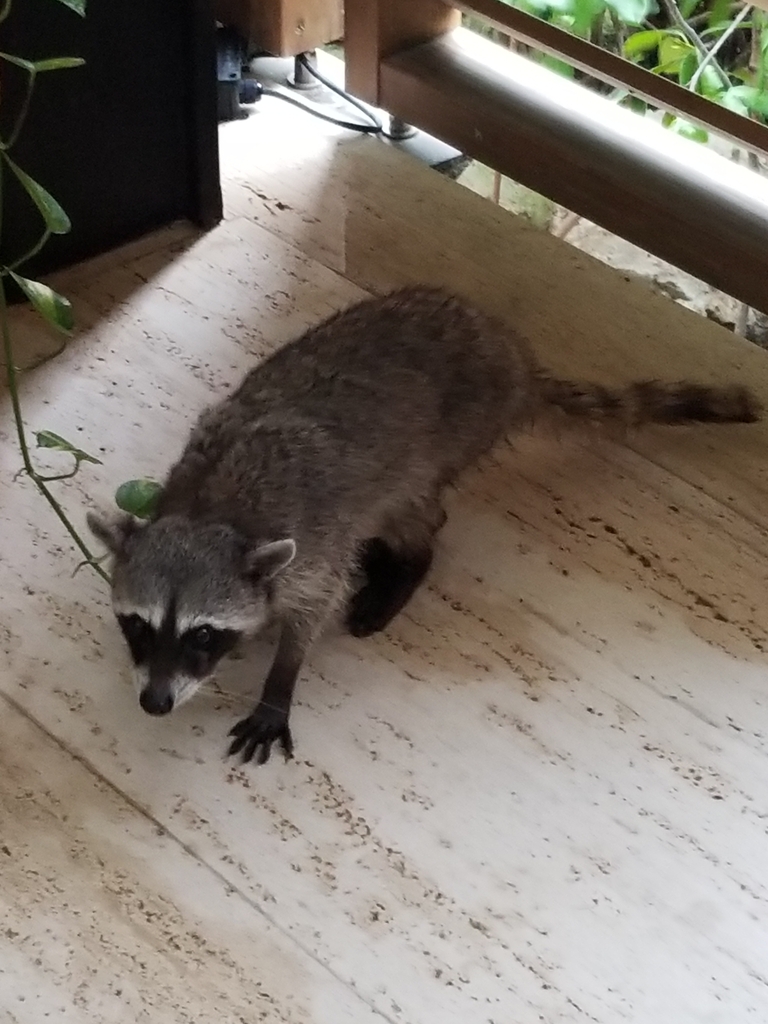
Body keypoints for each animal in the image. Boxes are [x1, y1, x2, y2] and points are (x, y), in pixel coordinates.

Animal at [87, 287, 761, 765]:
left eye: (202, 634)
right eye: (138, 625)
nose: (154, 703)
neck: (210, 513)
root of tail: (515, 358)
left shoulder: (314, 552)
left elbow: (312, 613)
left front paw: (278, 683)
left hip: (453, 434)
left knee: (417, 509)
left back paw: (407, 560)